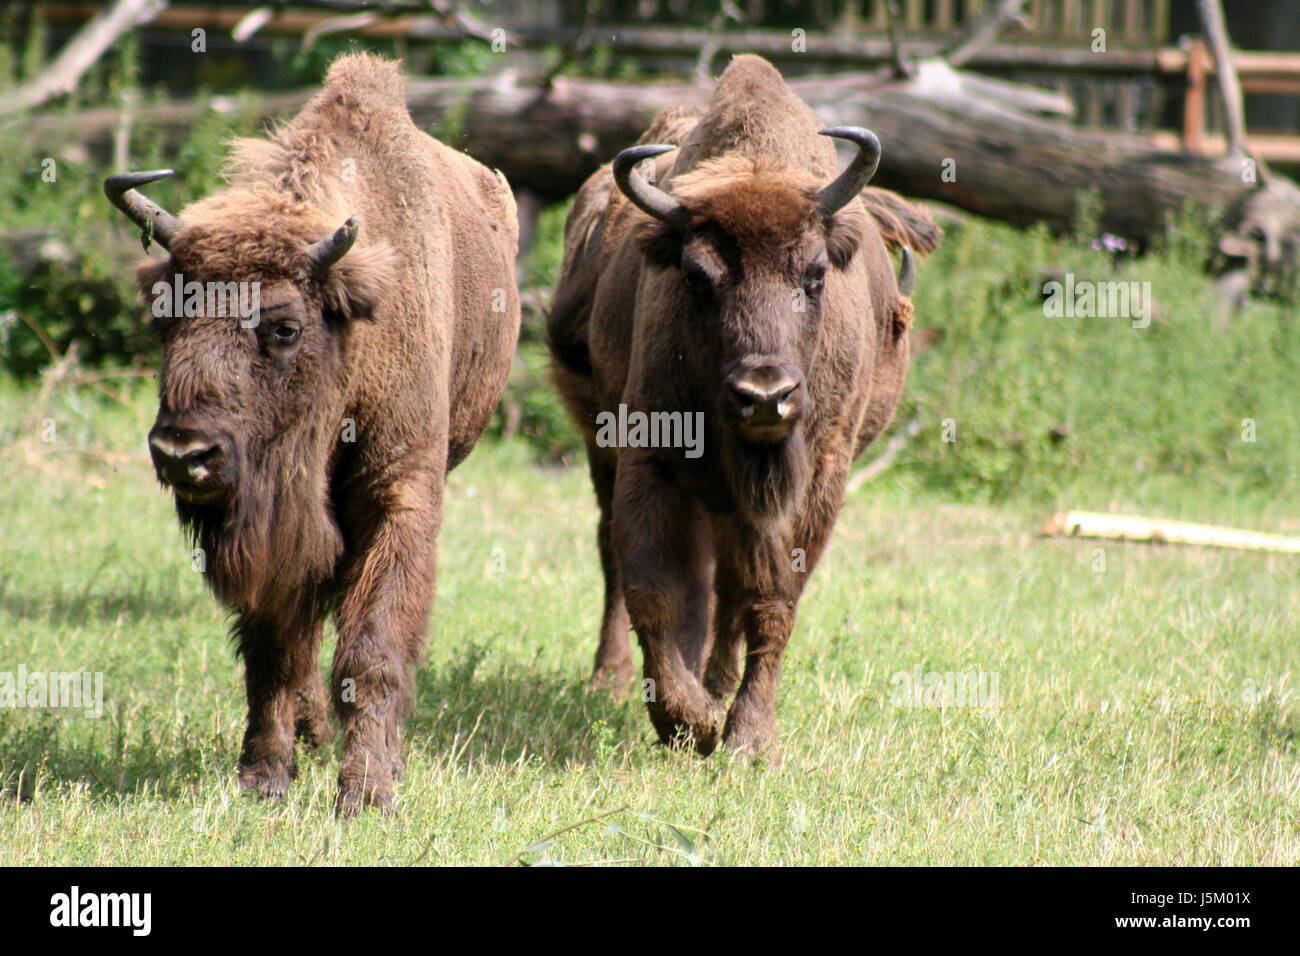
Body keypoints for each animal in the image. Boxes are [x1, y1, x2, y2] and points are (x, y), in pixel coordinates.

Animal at [105, 54, 520, 812]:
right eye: (165, 316)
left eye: (284, 327)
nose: (184, 455)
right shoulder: (275, 528)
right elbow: (274, 647)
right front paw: (264, 777)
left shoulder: (398, 495)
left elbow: (374, 645)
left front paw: (368, 791)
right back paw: (310, 729)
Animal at [547, 55, 941, 758]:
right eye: (696, 276)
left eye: (815, 275)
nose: (765, 396)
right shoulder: (649, 456)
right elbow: (652, 585)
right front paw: (689, 722)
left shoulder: (817, 479)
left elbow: (771, 600)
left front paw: (748, 737)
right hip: (601, 442)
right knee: (618, 558)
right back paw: (612, 681)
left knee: (729, 588)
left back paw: (716, 682)